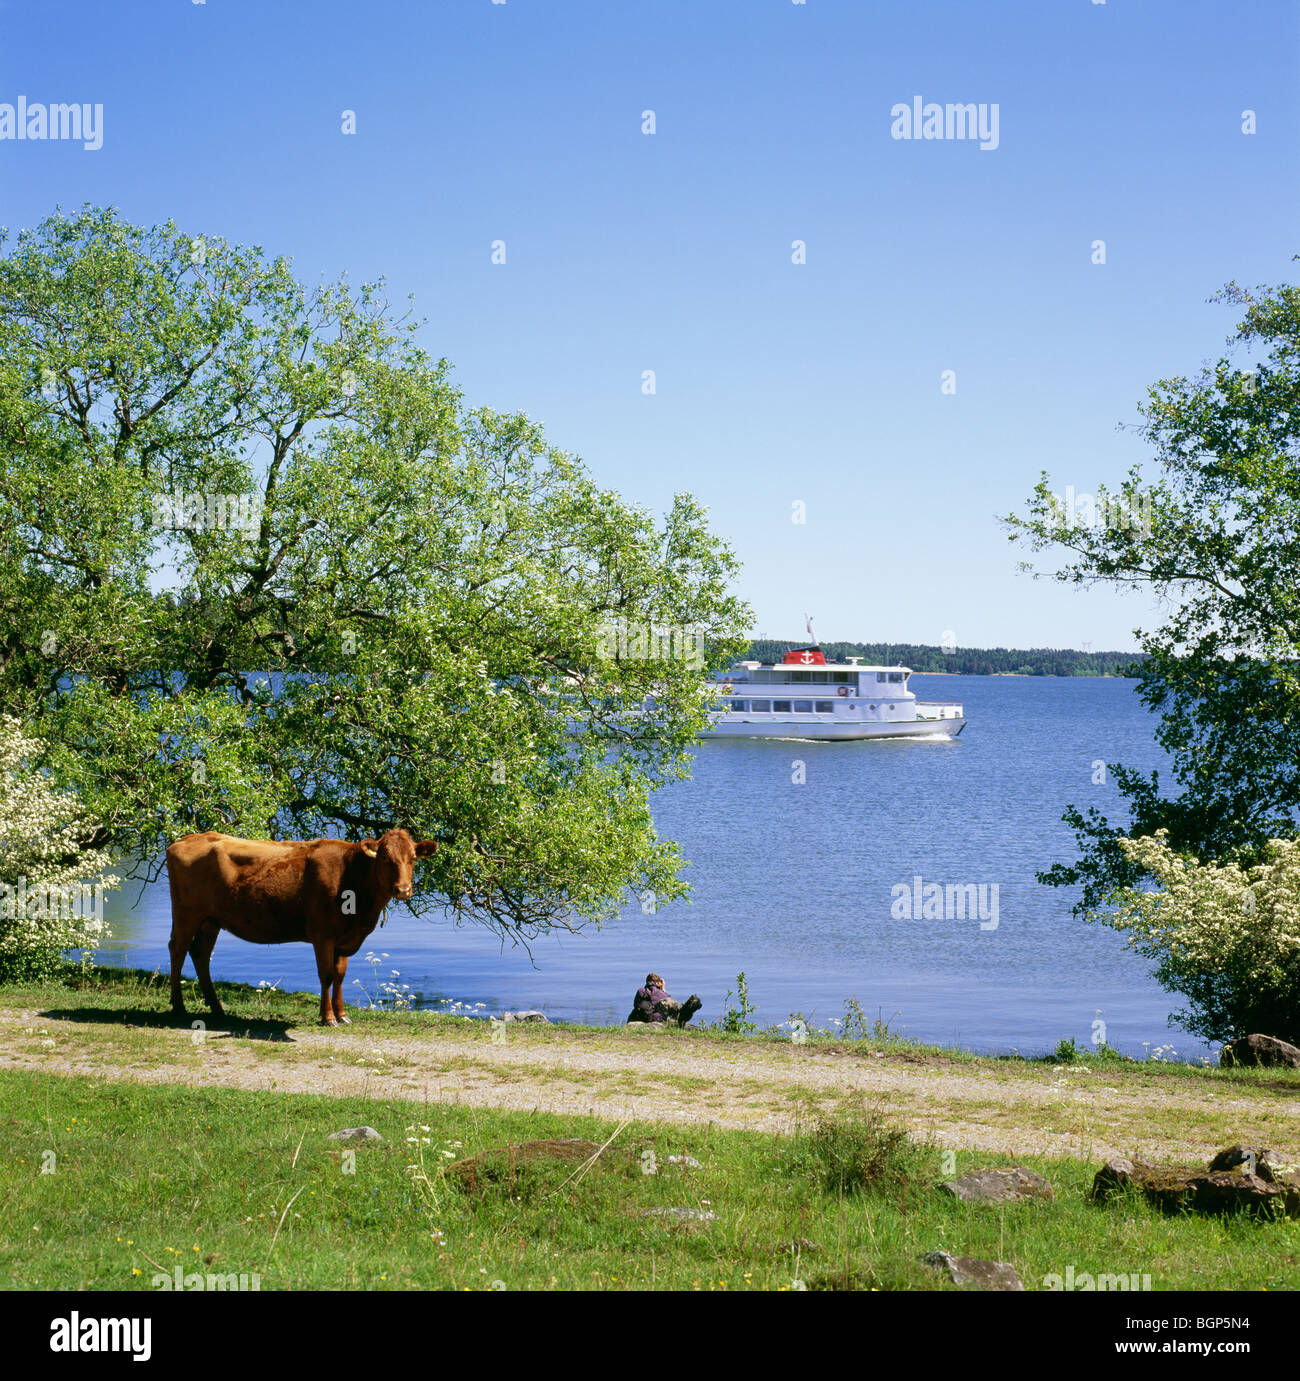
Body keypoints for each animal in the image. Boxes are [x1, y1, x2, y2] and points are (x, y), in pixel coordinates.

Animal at [165, 828, 438, 1026]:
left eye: (413, 859)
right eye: (385, 858)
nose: (403, 889)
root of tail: (188, 839)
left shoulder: (344, 938)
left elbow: (340, 975)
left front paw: (342, 1015)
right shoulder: (323, 935)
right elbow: (326, 975)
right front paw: (328, 1018)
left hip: (210, 921)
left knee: (200, 955)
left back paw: (216, 1007)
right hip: (186, 914)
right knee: (178, 950)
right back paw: (178, 1006)